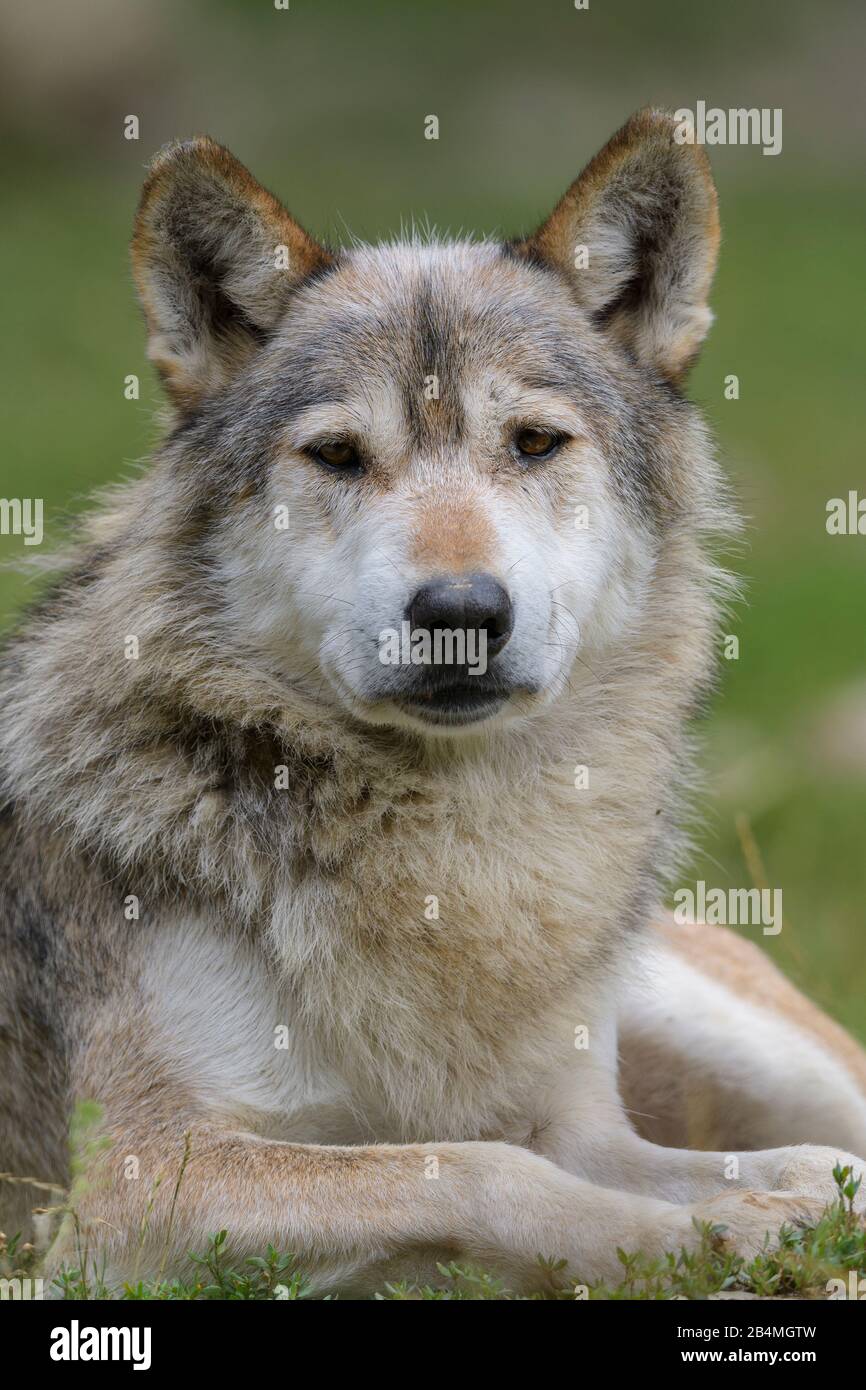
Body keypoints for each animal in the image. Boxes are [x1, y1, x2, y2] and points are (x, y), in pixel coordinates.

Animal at [2, 110, 865, 1296]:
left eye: (535, 442)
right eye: (336, 455)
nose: (459, 610)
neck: (448, 857)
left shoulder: (584, 1127)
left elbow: (702, 1166)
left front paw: (771, 1209)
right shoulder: (134, 1191)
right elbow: (477, 1167)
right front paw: (737, 1235)